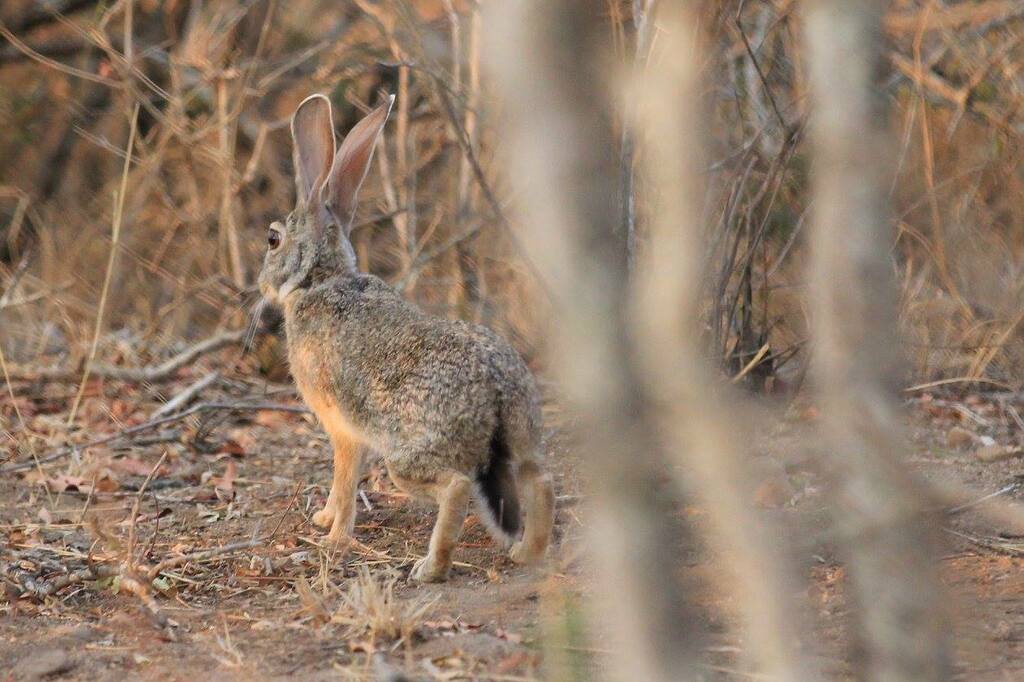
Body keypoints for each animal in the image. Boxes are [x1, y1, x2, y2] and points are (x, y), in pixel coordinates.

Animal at [257, 93, 555, 582]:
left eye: (272, 239)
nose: (262, 284)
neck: (322, 279)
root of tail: (495, 390)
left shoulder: (343, 429)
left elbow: (344, 480)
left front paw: (333, 534)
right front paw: (323, 520)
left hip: (406, 458)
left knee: (455, 488)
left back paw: (430, 567)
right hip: (522, 432)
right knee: (540, 480)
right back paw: (526, 554)